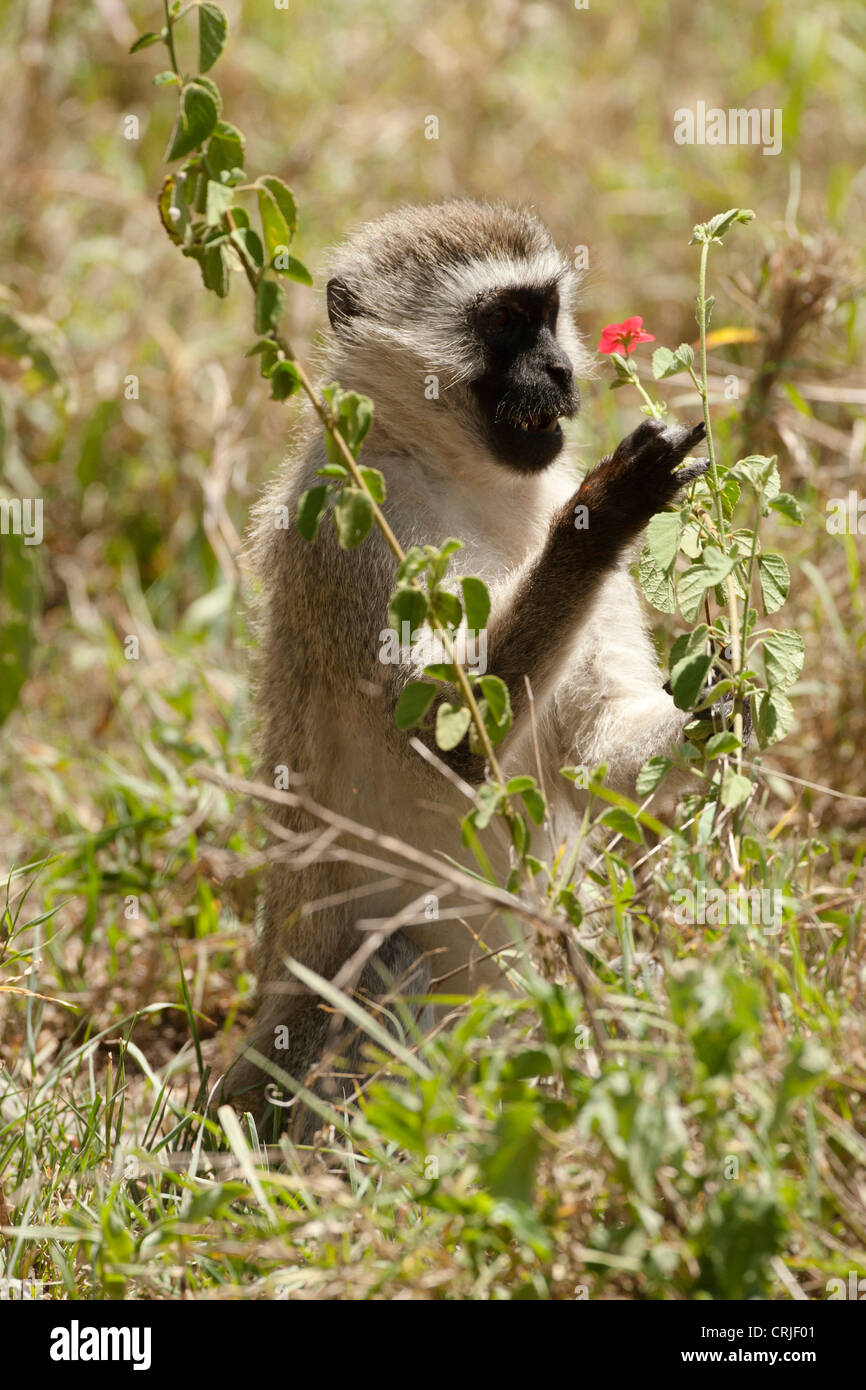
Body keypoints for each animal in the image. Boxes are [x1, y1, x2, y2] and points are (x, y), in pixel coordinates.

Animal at [223, 199, 722, 1138]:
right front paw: (604, 516)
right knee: (393, 964)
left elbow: (595, 750)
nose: (561, 368)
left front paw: (727, 699)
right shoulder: (351, 522)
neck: (463, 478)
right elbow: (443, 741)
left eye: (549, 313)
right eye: (502, 322)